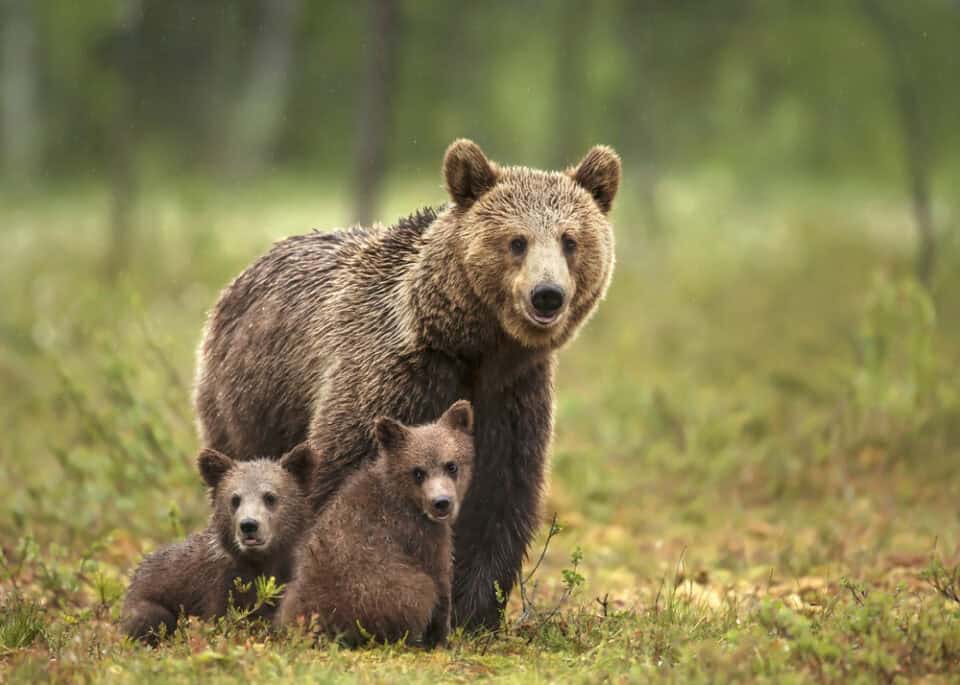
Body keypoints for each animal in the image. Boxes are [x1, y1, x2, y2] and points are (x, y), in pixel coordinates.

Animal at [278, 400, 475, 646]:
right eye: (418, 472)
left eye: (451, 466)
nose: (441, 503)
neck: (406, 498)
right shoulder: (420, 537)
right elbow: (440, 583)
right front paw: (443, 639)